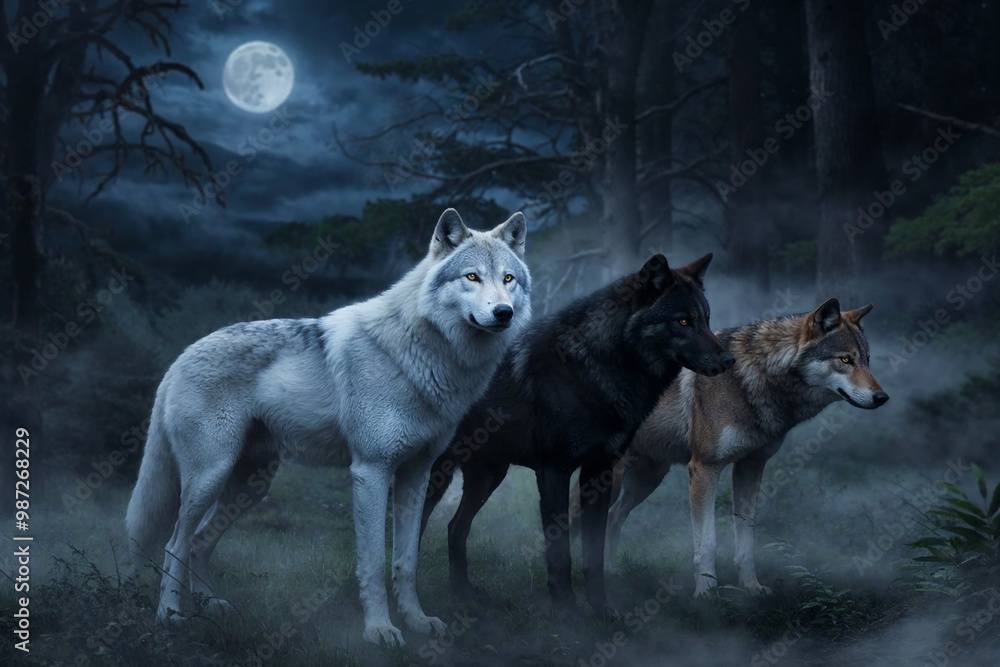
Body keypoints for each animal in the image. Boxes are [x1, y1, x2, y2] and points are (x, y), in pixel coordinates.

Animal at [125, 209, 531, 646]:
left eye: (508, 278)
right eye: (472, 276)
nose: (503, 313)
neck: (424, 354)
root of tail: (181, 356)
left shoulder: (417, 473)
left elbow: (407, 562)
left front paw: (417, 622)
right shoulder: (371, 470)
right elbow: (373, 562)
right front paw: (380, 630)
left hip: (251, 485)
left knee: (199, 543)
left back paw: (212, 607)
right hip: (208, 479)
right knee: (174, 545)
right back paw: (170, 616)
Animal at [417, 253, 734, 616]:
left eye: (706, 319)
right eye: (682, 321)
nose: (728, 360)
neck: (600, 367)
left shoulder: (600, 472)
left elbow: (593, 552)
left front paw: (602, 610)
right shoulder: (554, 471)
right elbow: (561, 551)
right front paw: (567, 610)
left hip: (488, 477)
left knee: (455, 528)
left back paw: (464, 594)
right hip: (437, 476)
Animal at [572, 298, 888, 598]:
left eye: (867, 361)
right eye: (845, 359)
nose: (882, 397)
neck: (753, 380)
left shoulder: (750, 467)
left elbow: (746, 539)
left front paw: (751, 587)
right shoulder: (704, 468)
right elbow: (707, 543)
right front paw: (706, 593)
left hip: (647, 480)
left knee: (613, 518)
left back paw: (610, 574)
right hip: (607, 483)